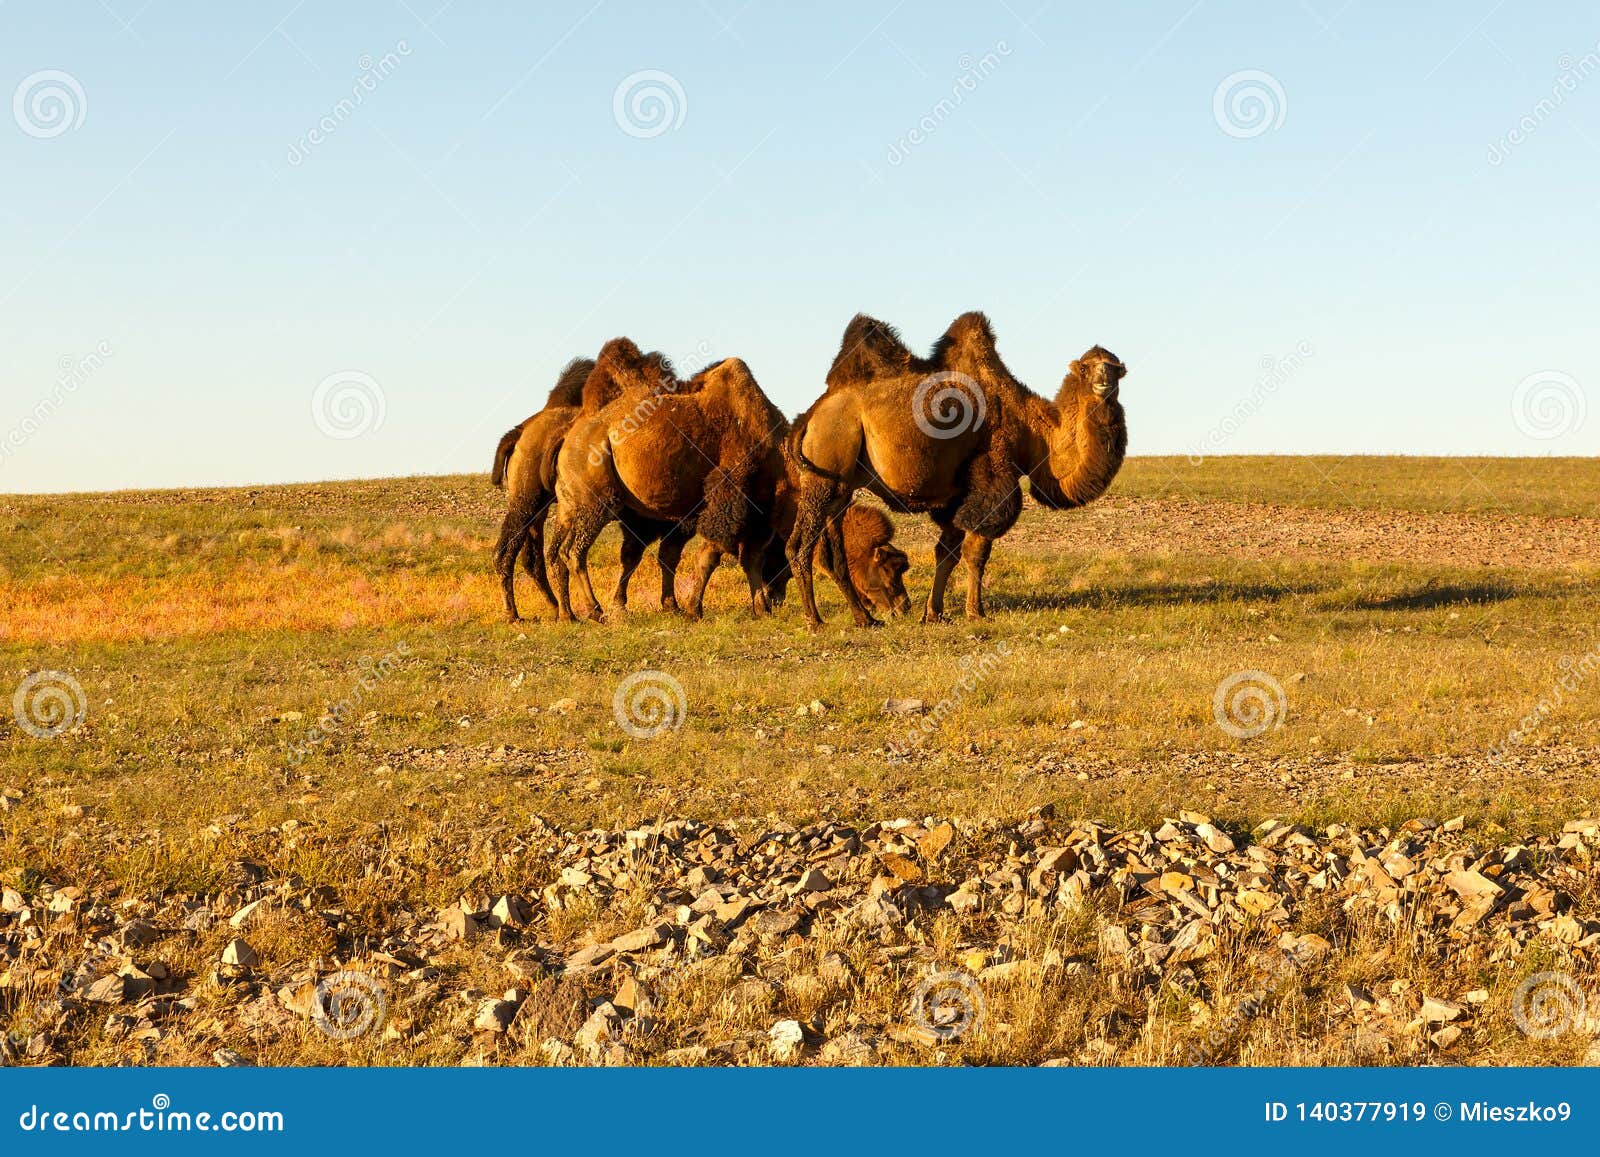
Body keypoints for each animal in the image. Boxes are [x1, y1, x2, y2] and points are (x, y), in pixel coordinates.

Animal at [784, 311, 1127, 627]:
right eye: (1086, 367)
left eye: (1115, 367)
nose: (1103, 380)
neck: (1032, 429)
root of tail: (809, 417)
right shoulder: (993, 477)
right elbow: (977, 551)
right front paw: (976, 612)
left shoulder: (957, 494)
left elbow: (946, 553)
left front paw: (933, 614)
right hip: (824, 470)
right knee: (800, 546)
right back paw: (815, 621)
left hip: (841, 486)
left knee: (833, 553)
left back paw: (865, 619)